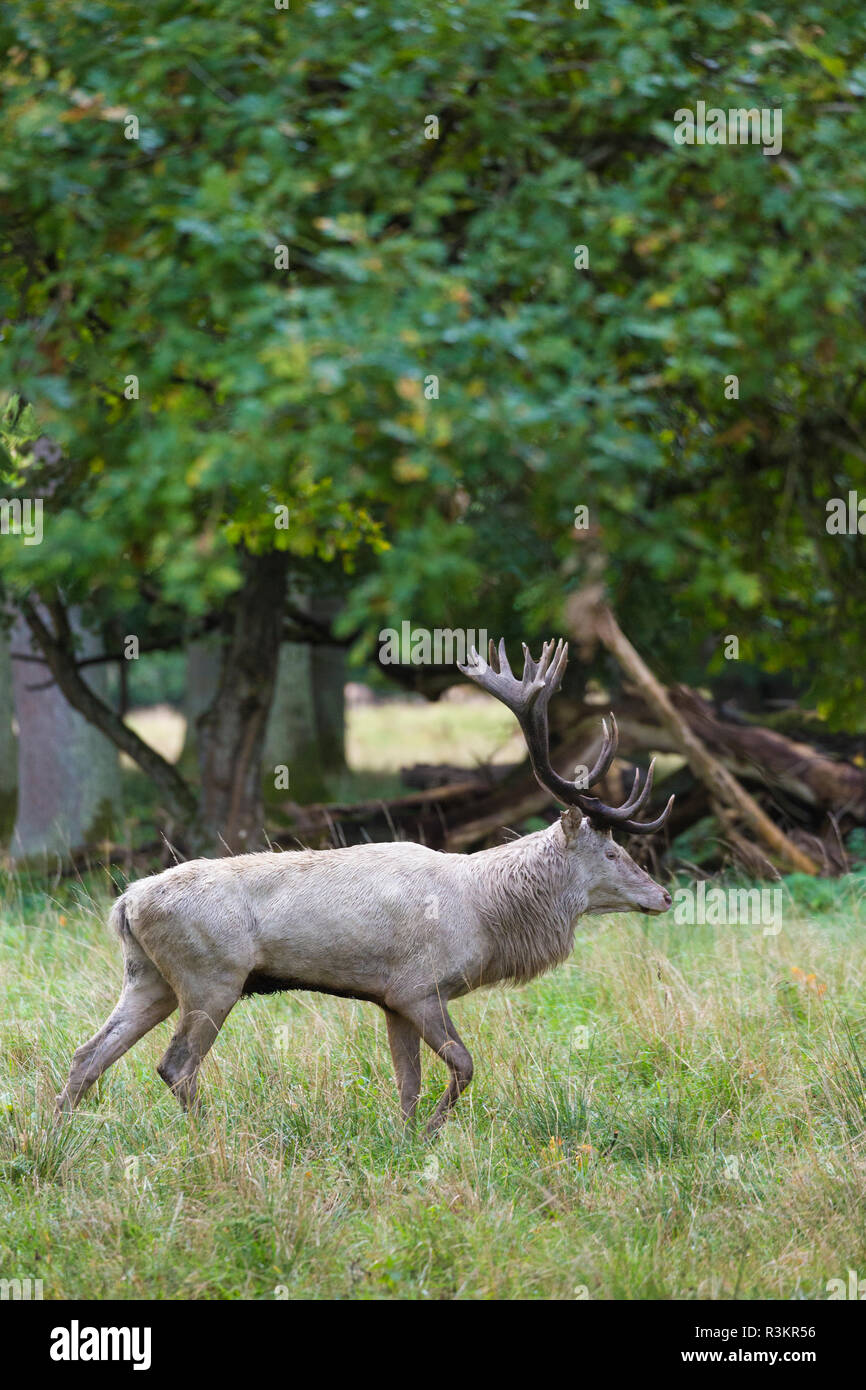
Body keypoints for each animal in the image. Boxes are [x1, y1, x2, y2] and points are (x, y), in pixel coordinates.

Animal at [55, 638, 673, 1135]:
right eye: (613, 851)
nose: (665, 896)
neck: (485, 915)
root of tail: (126, 902)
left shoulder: (391, 1000)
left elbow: (408, 1083)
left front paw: (404, 1140)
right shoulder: (419, 986)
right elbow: (464, 1065)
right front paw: (431, 1133)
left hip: (150, 977)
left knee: (88, 1055)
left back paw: (56, 1139)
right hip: (212, 976)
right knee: (175, 1065)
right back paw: (216, 1138)